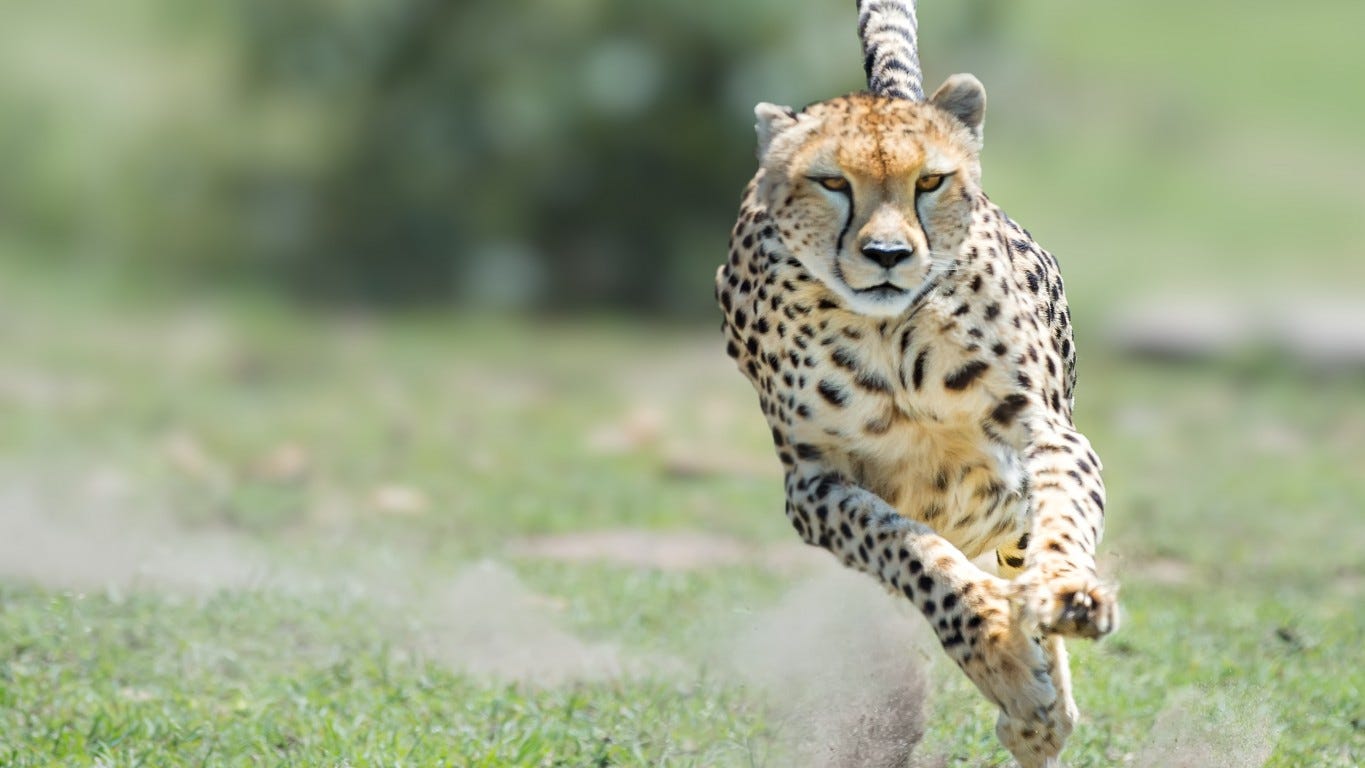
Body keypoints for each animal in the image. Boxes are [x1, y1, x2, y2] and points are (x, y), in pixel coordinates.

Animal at [715, 2, 1118, 766]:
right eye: (832, 183)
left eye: (929, 182)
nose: (886, 254)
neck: (887, 334)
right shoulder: (813, 485)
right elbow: (910, 551)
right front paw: (999, 652)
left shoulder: (1045, 432)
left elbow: (1063, 517)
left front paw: (1066, 597)